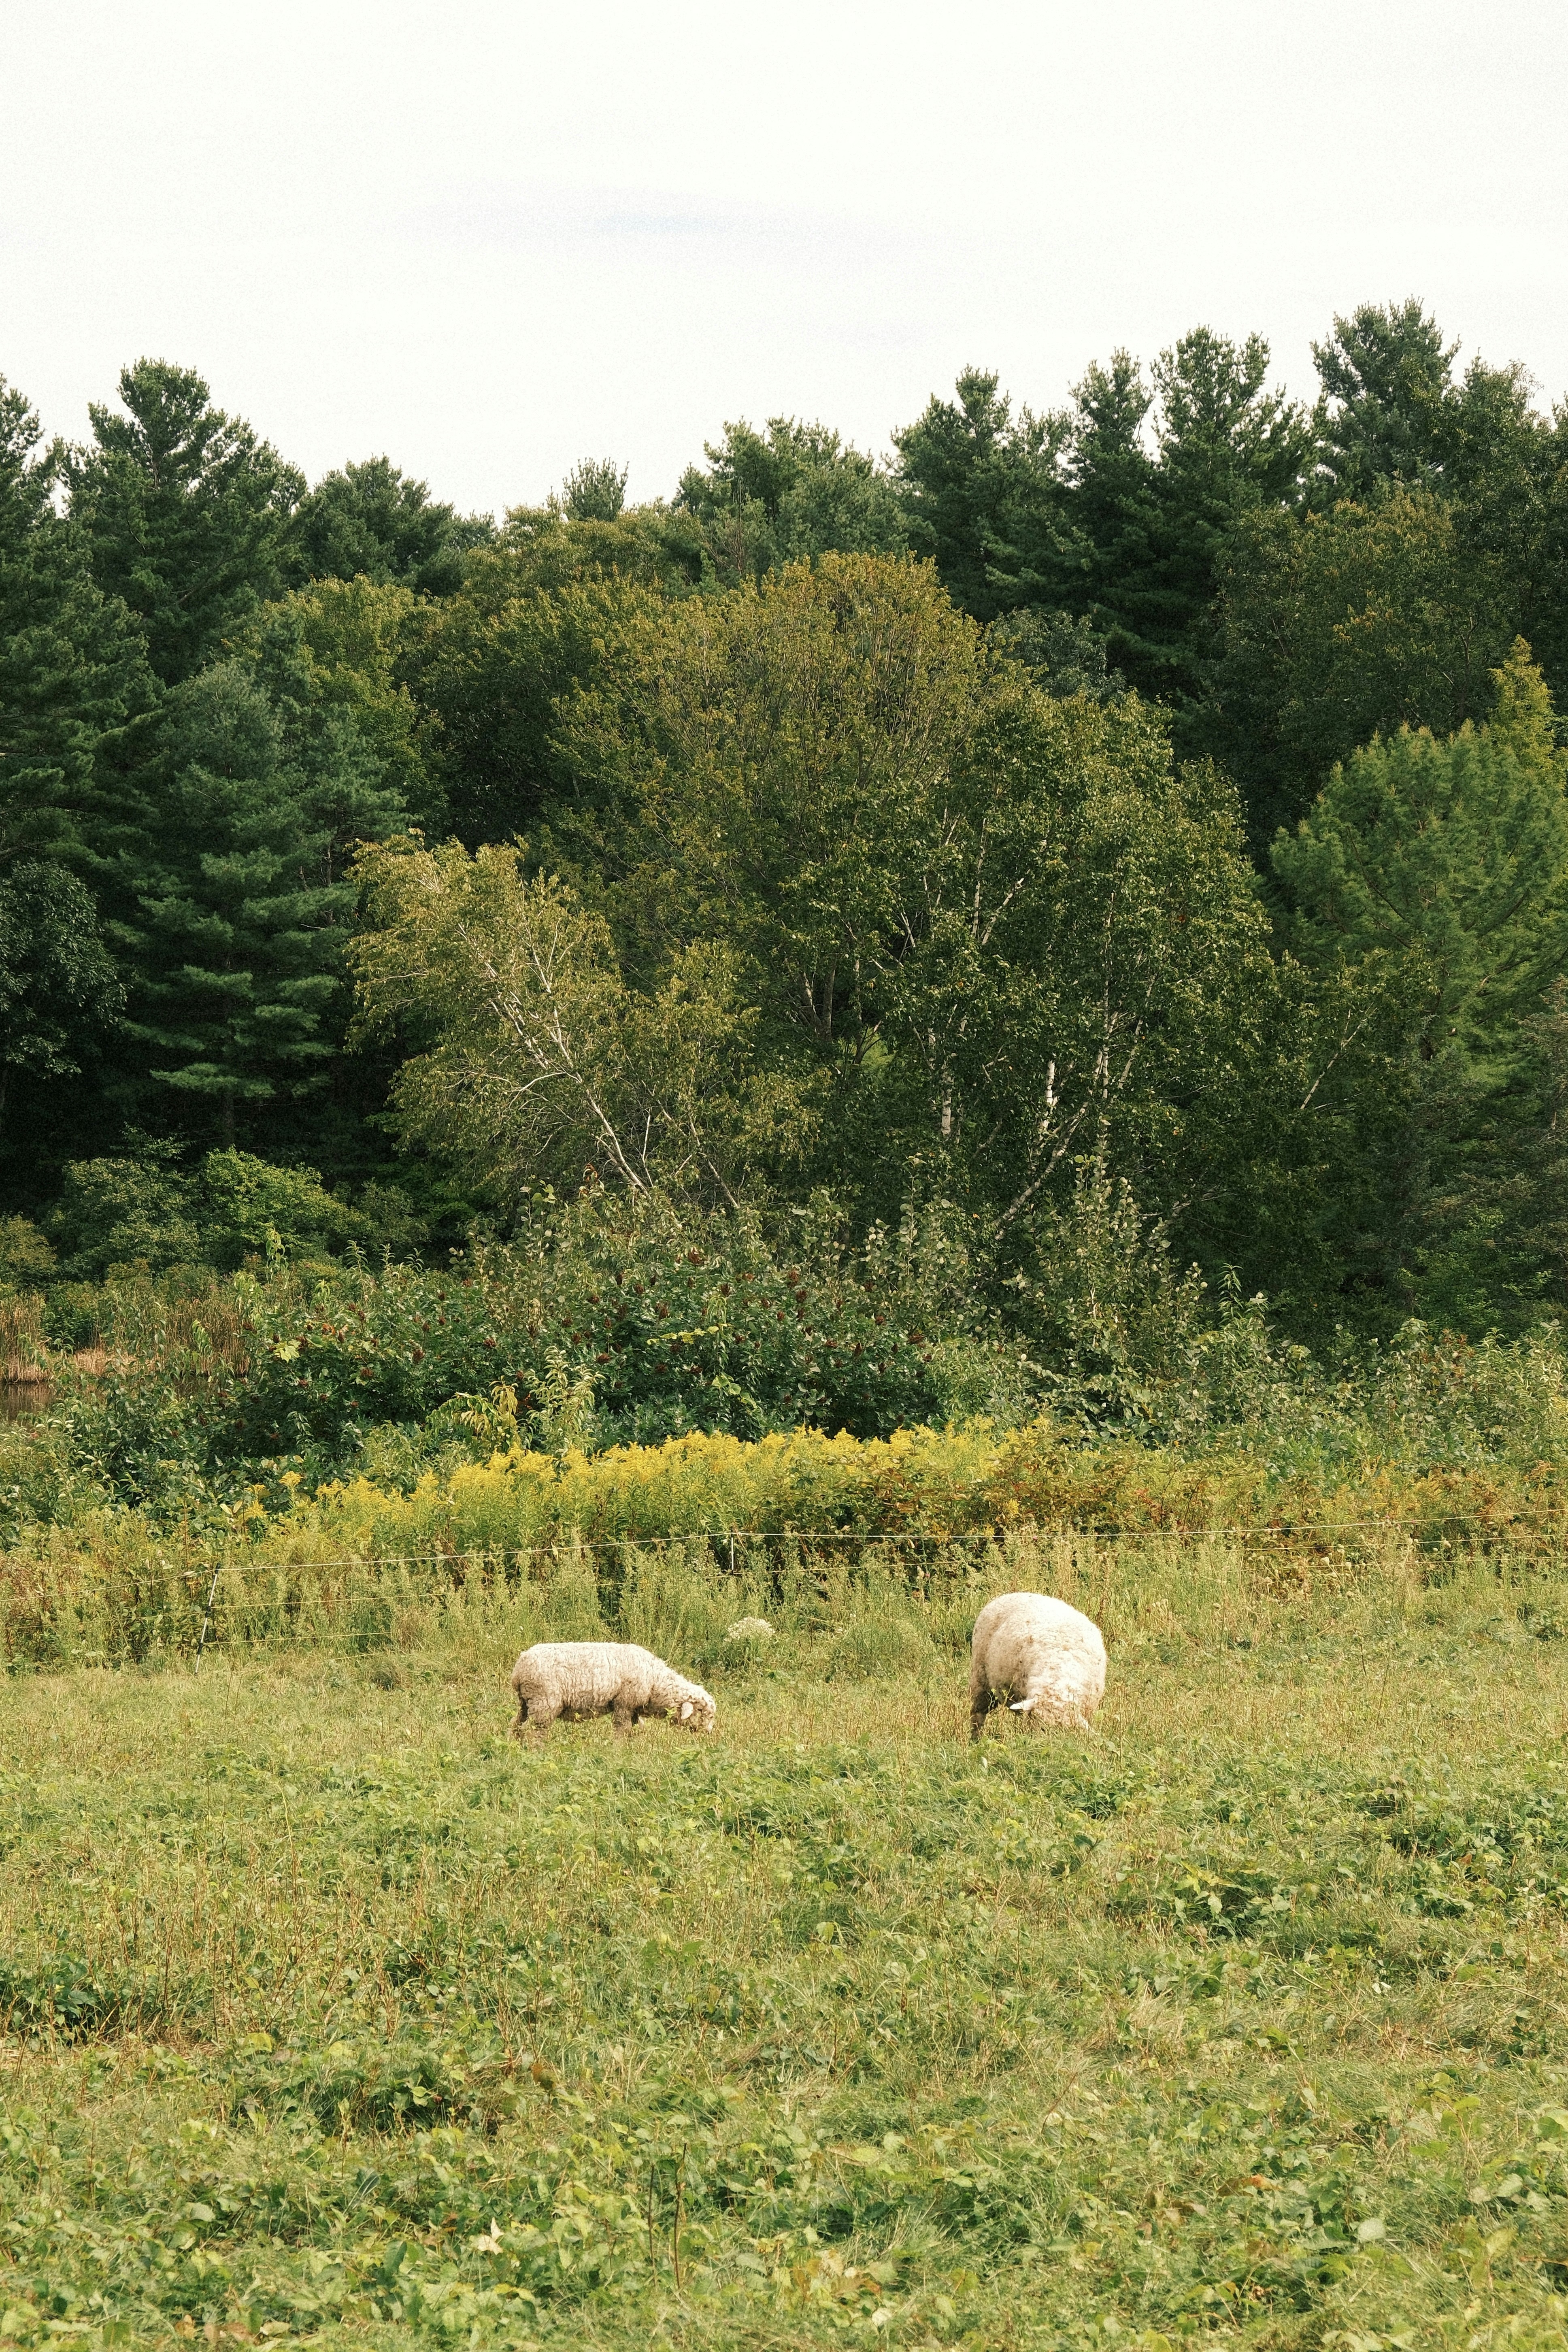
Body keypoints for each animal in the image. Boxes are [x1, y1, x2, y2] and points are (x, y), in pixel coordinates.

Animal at [510, 1640, 717, 1746]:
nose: (709, 1733)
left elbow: (636, 1729)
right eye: (702, 1713)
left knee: (516, 1724)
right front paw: (618, 1750)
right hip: (544, 1702)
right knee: (536, 1732)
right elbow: (622, 1730)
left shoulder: (633, 1709)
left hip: (527, 1702)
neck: (655, 1682)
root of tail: (519, 1669)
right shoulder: (624, 1704)